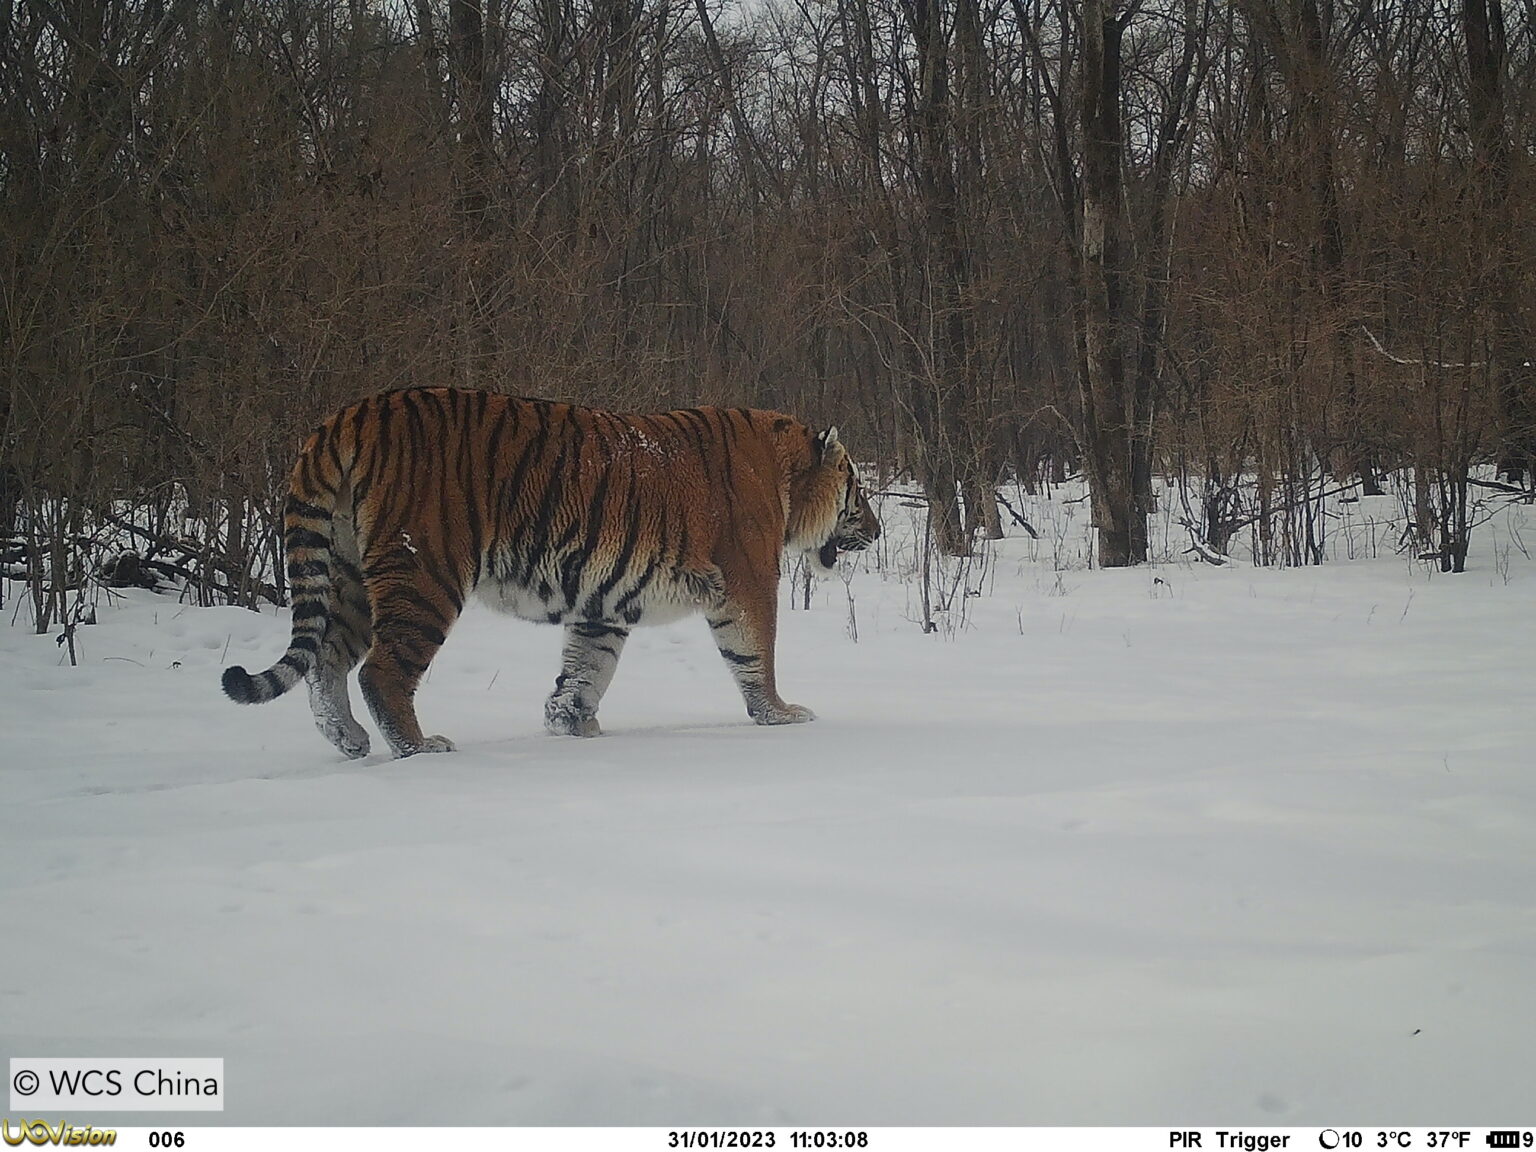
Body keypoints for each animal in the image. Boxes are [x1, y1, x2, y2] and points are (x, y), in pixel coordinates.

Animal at [221, 387, 880, 758]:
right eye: (857, 490)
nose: (874, 531)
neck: (786, 477)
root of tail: (354, 412)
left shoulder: (605, 599)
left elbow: (586, 669)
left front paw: (571, 726)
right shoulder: (747, 581)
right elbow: (756, 653)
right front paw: (781, 715)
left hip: (349, 574)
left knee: (326, 662)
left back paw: (350, 741)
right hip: (424, 571)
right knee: (381, 671)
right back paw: (421, 748)